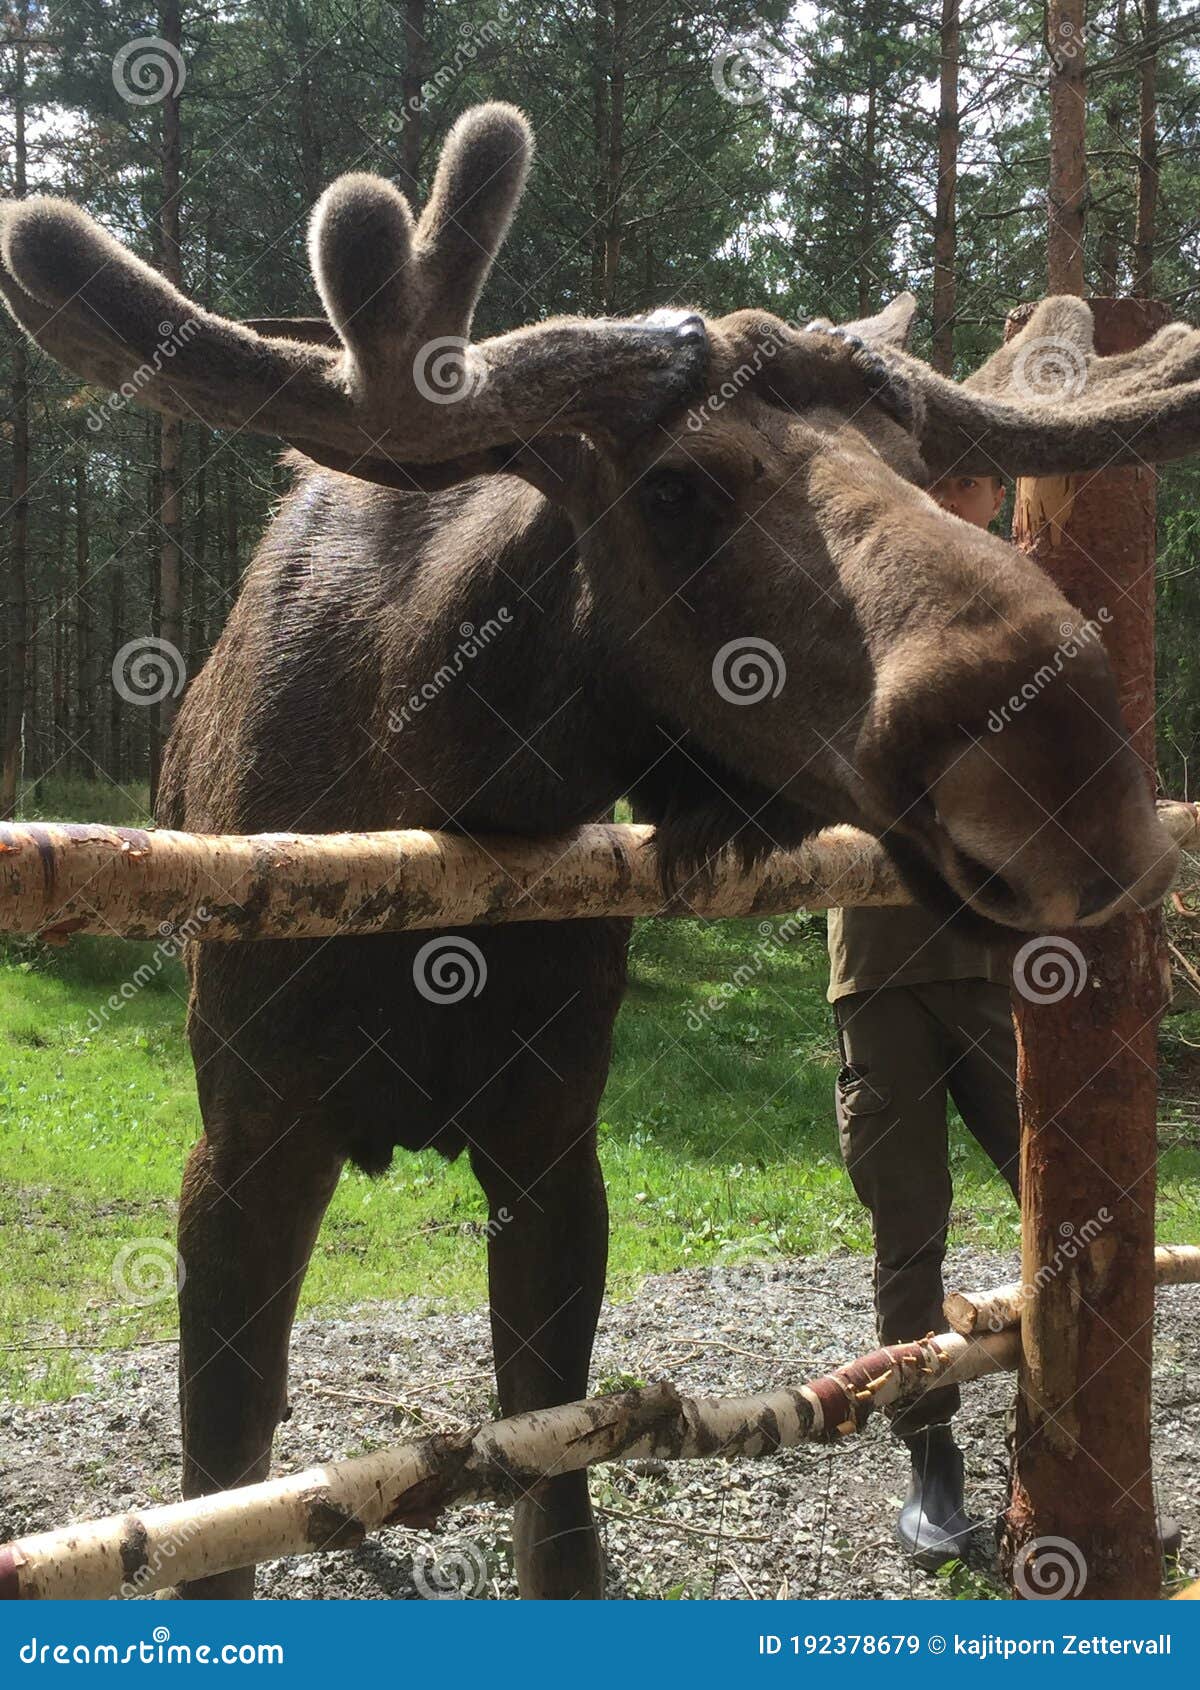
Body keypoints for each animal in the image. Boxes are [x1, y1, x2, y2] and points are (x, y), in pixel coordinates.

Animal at [4, 102, 1200, 1600]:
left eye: (930, 471)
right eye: (676, 486)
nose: (1073, 776)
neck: (444, 791)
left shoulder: (552, 1132)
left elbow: (554, 1496)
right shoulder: (245, 1139)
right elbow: (213, 1505)